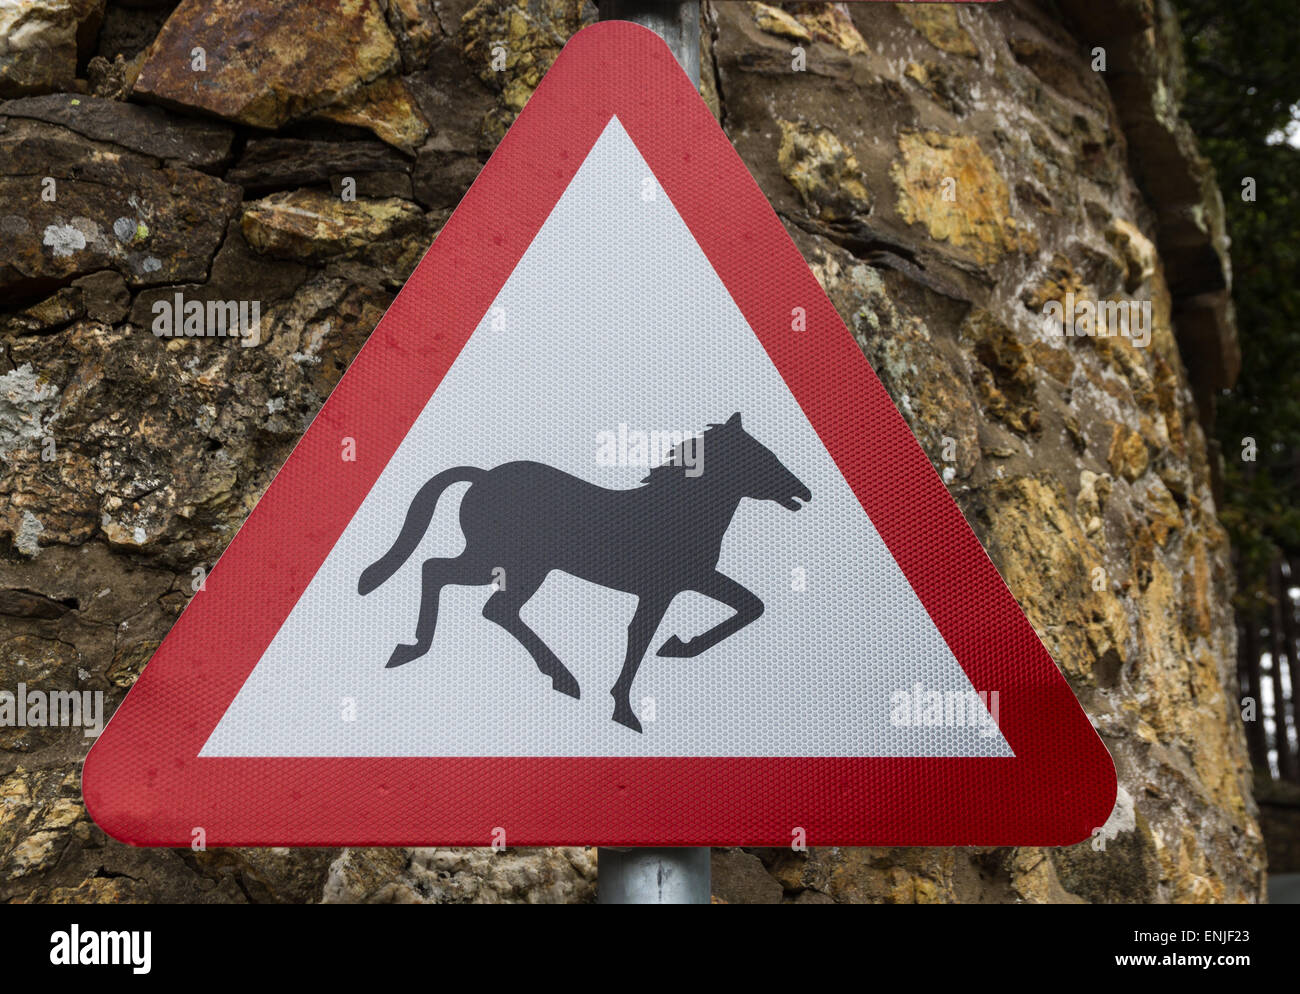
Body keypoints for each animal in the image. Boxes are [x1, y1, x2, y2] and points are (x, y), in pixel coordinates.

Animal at [357, 412, 811, 731]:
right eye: (762, 458)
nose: (804, 492)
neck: (679, 512)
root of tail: (482, 476)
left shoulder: (687, 582)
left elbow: (749, 606)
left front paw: (676, 647)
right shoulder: (664, 589)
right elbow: (640, 637)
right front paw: (626, 709)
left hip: (517, 566)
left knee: (485, 602)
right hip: (507, 561)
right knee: (444, 575)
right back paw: (418, 649)